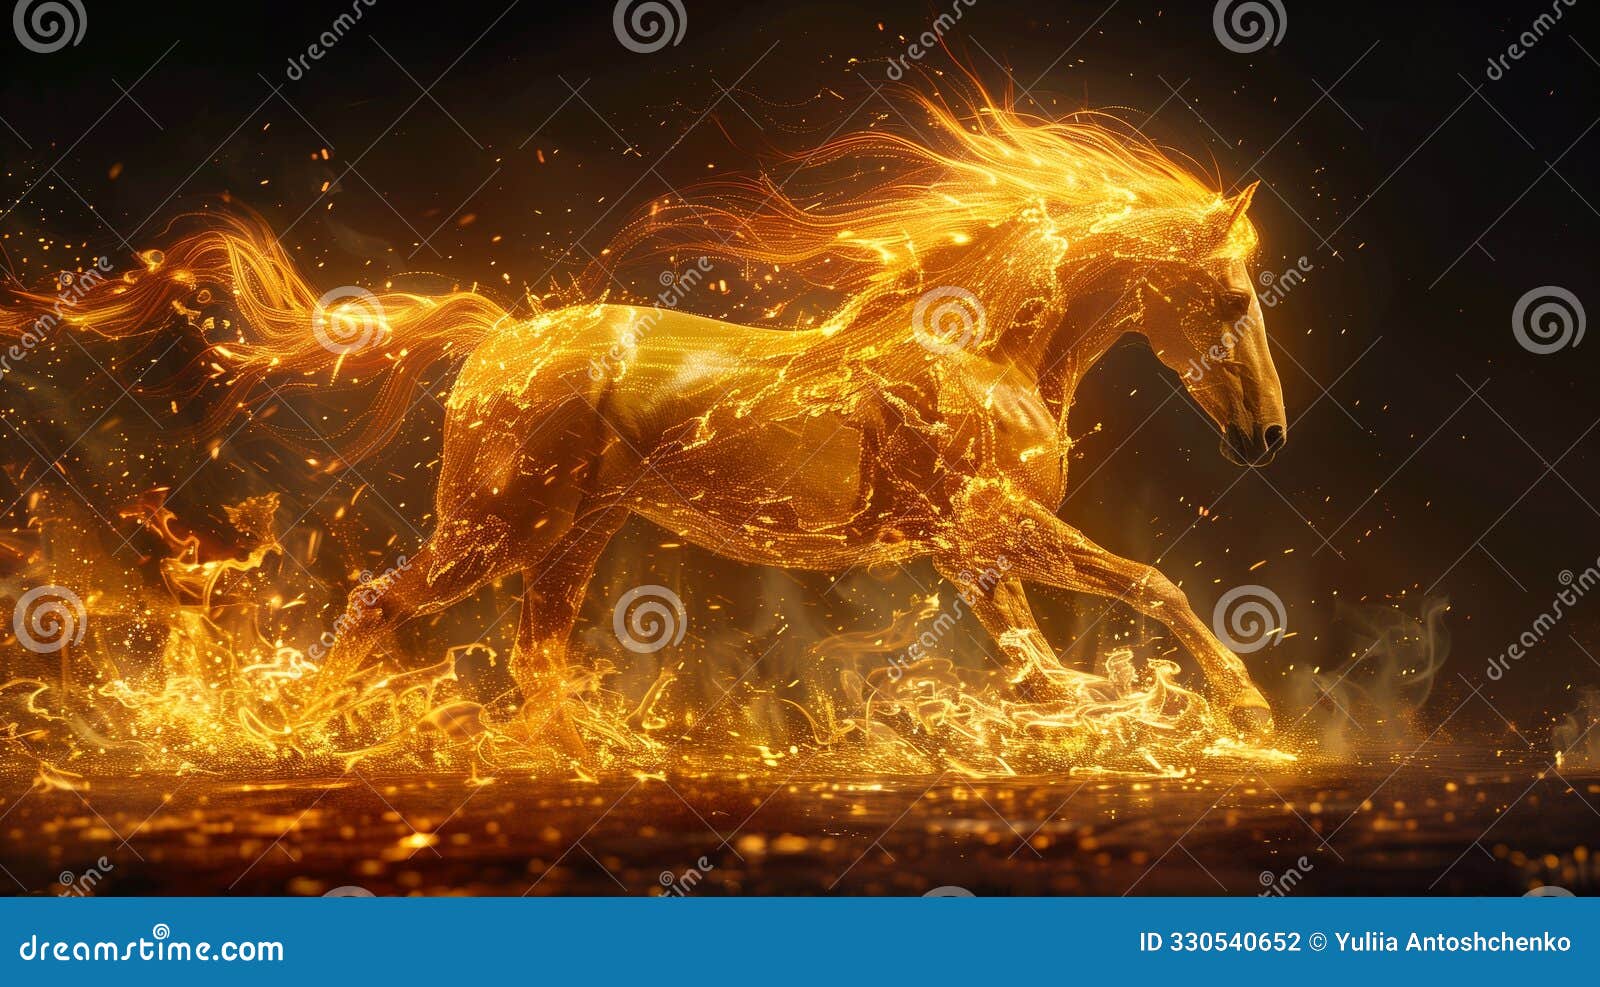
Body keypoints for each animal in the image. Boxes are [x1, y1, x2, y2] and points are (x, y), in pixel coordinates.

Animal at [14, 93, 1287, 756]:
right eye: (1233, 296)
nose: (1268, 439)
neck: (977, 352)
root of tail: (496, 339)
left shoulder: (972, 556)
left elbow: (1039, 660)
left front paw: (1124, 725)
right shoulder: (988, 530)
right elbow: (1147, 591)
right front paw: (1239, 715)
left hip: (568, 539)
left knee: (534, 654)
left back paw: (590, 761)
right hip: (497, 530)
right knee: (382, 602)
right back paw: (304, 733)